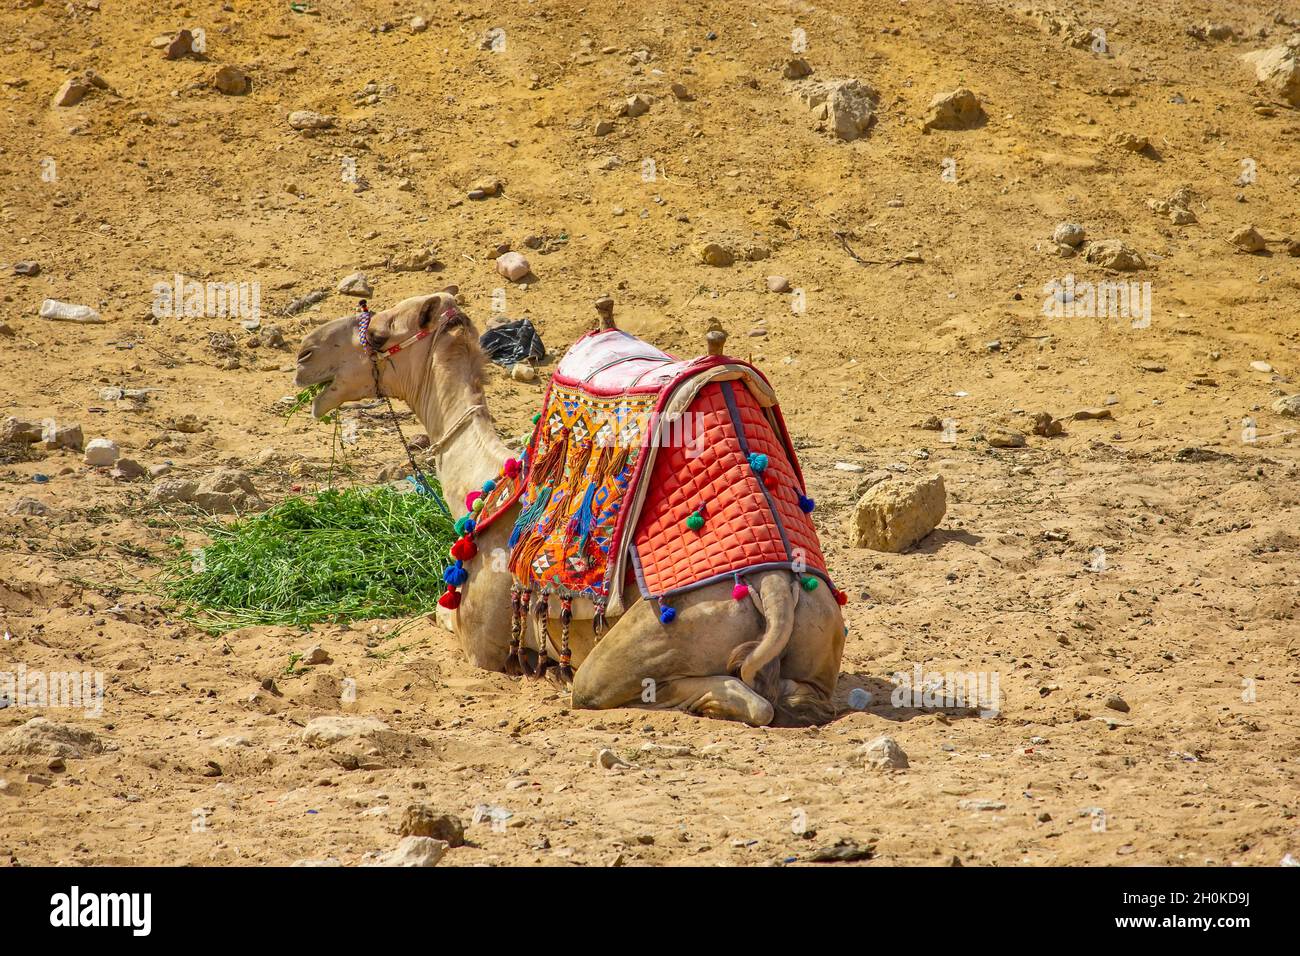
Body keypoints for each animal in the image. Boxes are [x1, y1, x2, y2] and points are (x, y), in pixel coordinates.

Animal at [294, 290, 845, 725]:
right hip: (822, 632)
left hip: (666, 628)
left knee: (680, 692)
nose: (304, 355)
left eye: (380, 333)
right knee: (795, 695)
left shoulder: (482, 644)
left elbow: (441, 615)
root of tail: (774, 590)